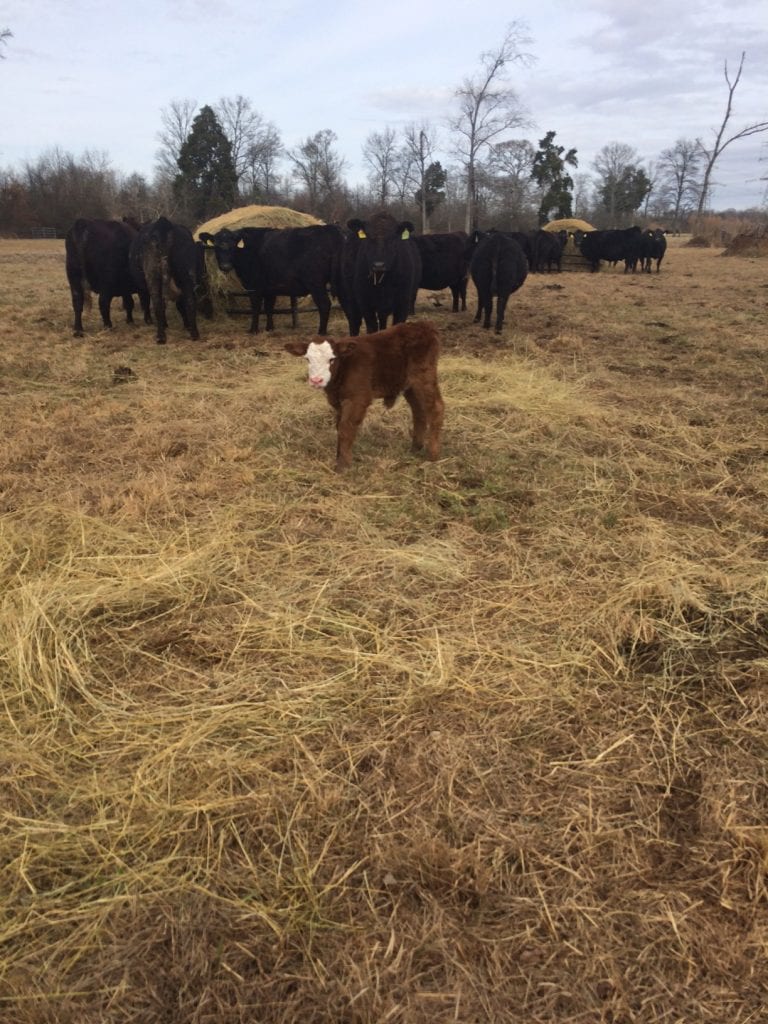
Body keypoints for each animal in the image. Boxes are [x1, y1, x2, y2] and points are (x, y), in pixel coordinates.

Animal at [284, 320, 444, 472]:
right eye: (307, 359)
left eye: (332, 359)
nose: (316, 380)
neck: (344, 367)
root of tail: (423, 325)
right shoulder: (339, 401)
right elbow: (339, 427)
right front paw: (339, 457)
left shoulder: (358, 399)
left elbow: (345, 428)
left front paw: (343, 465)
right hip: (409, 386)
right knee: (419, 411)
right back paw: (415, 448)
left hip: (424, 378)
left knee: (436, 408)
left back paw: (433, 455)